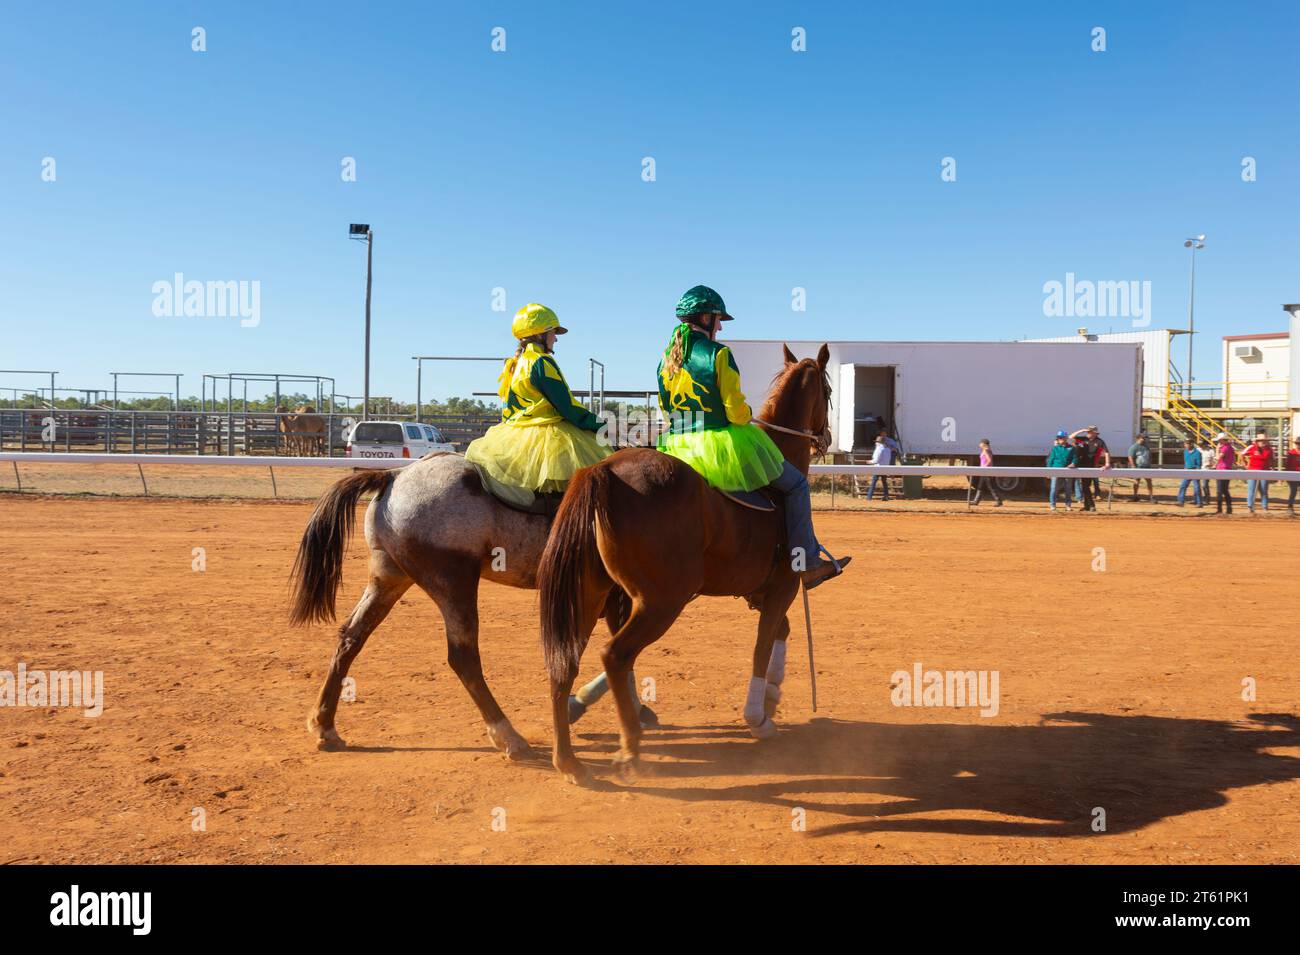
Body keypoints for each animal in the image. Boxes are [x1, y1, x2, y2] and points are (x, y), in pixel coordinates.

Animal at [287, 452, 632, 758]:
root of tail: (395, 476)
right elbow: (621, 653)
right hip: (455, 586)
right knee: (463, 657)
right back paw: (509, 737)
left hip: (388, 579)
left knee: (351, 637)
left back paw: (325, 727)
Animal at [537, 344, 833, 784]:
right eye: (829, 392)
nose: (826, 437)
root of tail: (603, 471)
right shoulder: (783, 586)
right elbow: (763, 646)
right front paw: (758, 717)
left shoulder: (761, 592)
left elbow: (781, 632)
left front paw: (773, 694)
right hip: (661, 602)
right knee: (616, 656)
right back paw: (629, 749)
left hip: (591, 595)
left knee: (565, 663)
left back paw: (569, 759)